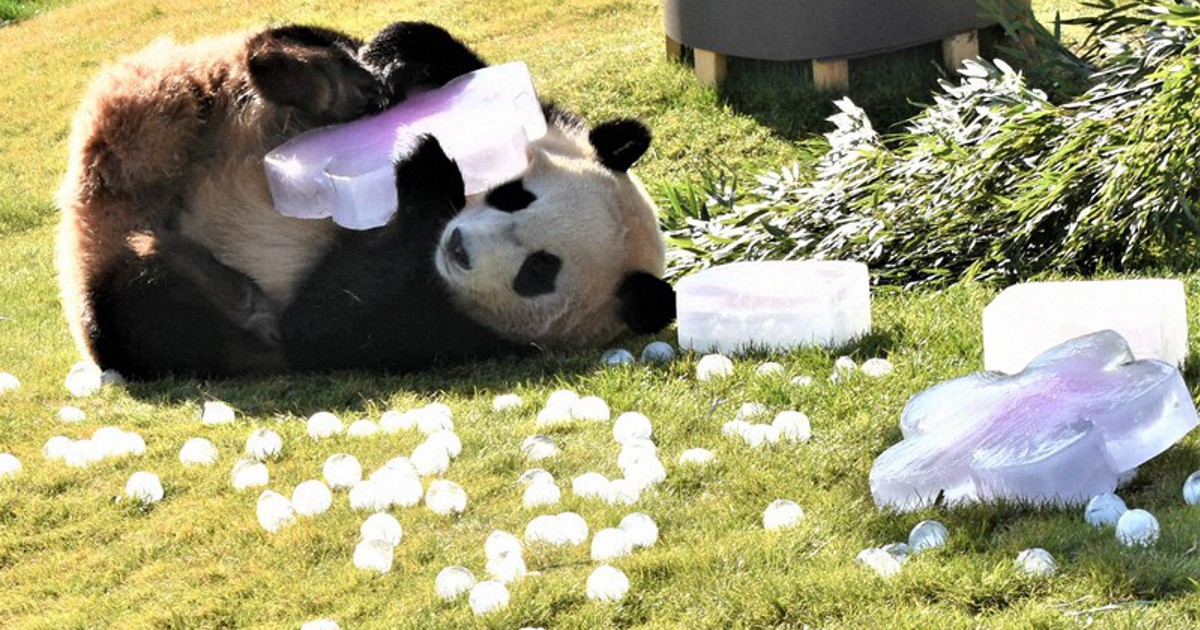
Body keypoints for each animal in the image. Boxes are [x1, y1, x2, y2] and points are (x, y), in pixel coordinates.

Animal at [56, 21, 675, 380]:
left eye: (538, 271)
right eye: (513, 195)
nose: (461, 247)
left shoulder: (446, 326)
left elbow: (323, 324)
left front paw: (427, 167)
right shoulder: (521, 101)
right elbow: (431, 49)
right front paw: (397, 79)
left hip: (132, 307)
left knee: (147, 317)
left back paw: (217, 287)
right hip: (200, 94)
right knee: (281, 47)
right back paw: (323, 79)